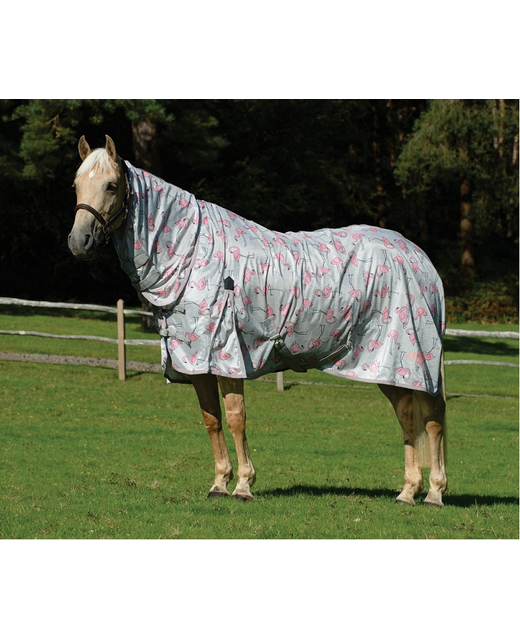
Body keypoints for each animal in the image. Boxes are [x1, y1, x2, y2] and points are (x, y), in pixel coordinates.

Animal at [68, 135, 447, 507]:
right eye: (76, 185)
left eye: (111, 186)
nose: (78, 241)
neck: (193, 256)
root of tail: (419, 259)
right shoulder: (196, 362)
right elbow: (211, 419)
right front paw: (219, 483)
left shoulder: (227, 356)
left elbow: (236, 418)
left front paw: (243, 486)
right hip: (391, 366)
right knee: (411, 416)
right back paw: (411, 490)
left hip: (408, 359)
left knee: (428, 419)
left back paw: (430, 493)